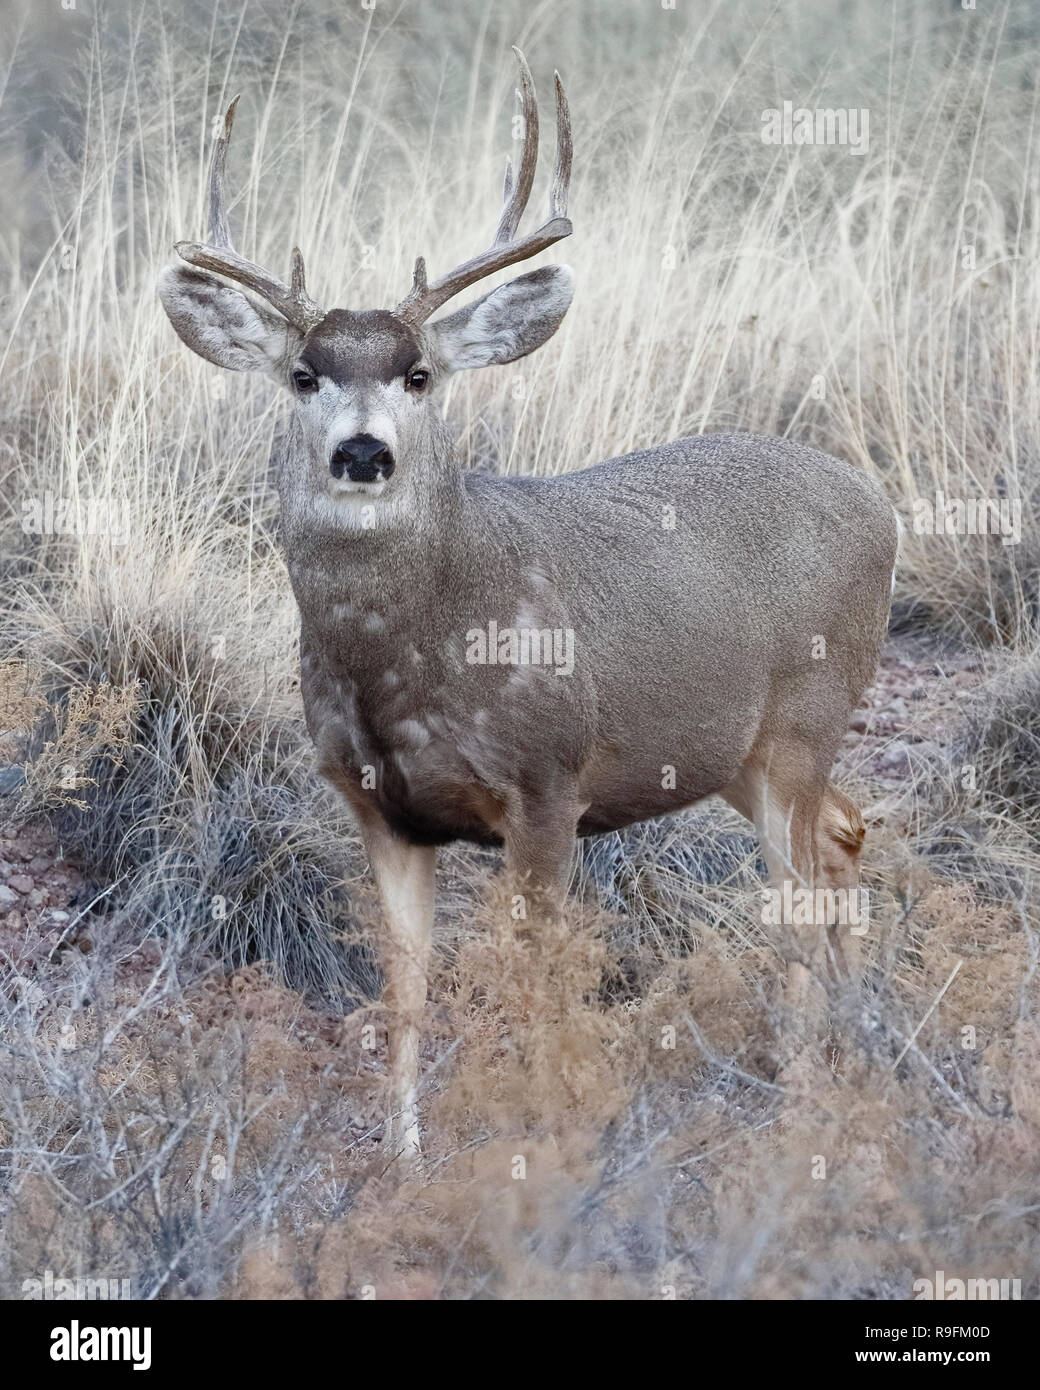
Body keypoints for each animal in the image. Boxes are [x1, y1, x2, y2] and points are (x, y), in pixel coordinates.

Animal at [159, 50, 898, 1162]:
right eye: (303, 374)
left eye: (419, 373)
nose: (363, 452)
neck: (408, 662)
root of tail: (881, 504)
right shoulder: (378, 806)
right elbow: (408, 989)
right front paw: (406, 1156)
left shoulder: (549, 781)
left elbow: (539, 978)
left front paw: (545, 1139)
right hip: (737, 747)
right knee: (845, 835)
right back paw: (850, 1059)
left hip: (807, 715)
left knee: (798, 892)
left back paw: (809, 1103)